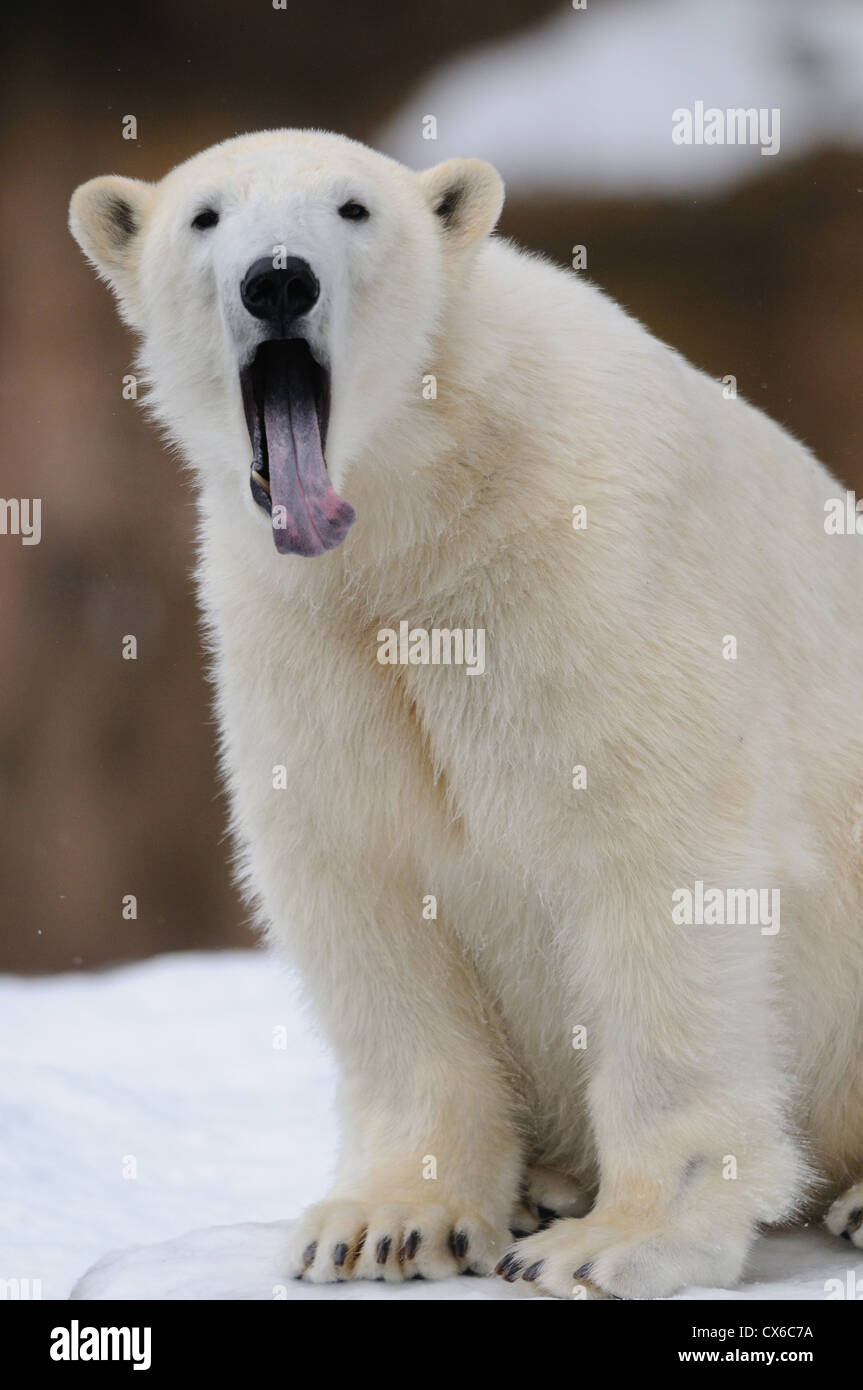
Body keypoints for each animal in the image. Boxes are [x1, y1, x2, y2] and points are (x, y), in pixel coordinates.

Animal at [69, 130, 863, 1298]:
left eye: (352, 209)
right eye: (206, 216)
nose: (277, 280)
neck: (422, 505)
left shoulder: (589, 568)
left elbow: (657, 865)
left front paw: (618, 1239)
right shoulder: (307, 633)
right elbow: (364, 877)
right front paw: (388, 1222)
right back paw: (549, 1180)